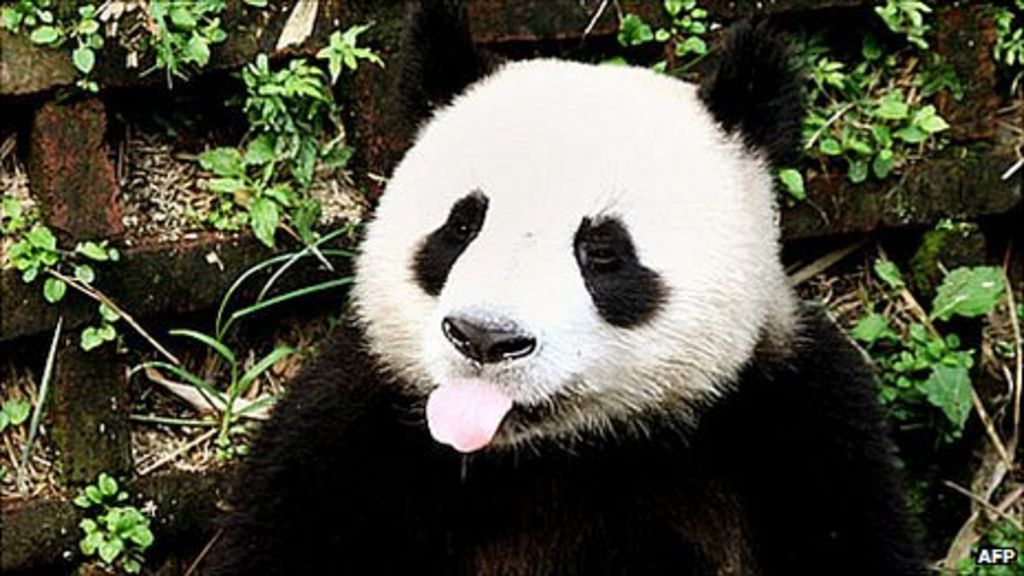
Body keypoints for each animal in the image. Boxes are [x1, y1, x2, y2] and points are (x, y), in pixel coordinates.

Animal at [208, 2, 924, 574]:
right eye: (462, 224)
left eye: (602, 250)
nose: (484, 338)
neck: (554, 454)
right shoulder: (347, 439)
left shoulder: (797, 433)